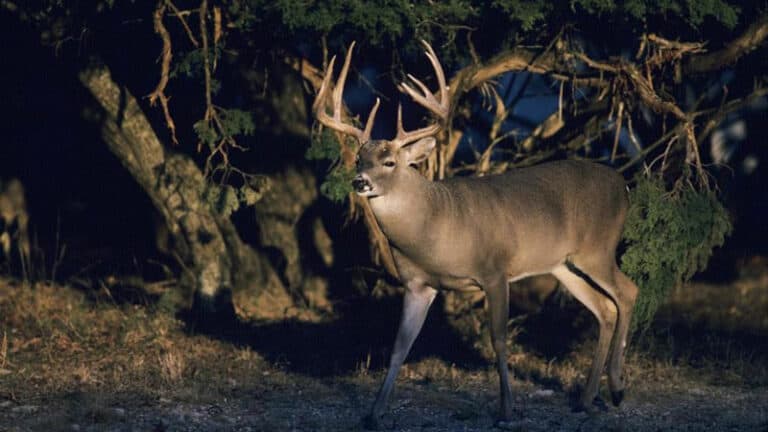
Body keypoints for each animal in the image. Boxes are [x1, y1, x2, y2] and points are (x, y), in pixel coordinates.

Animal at [312, 41, 639, 428]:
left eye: (390, 162)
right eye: (360, 160)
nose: (360, 182)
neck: (436, 228)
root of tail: (624, 185)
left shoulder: (495, 270)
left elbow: (498, 339)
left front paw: (506, 410)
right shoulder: (418, 284)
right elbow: (400, 346)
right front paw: (375, 413)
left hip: (598, 248)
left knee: (628, 292)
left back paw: (617, 389)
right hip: (564, 265)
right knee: (604, 308)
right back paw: (586, 399)